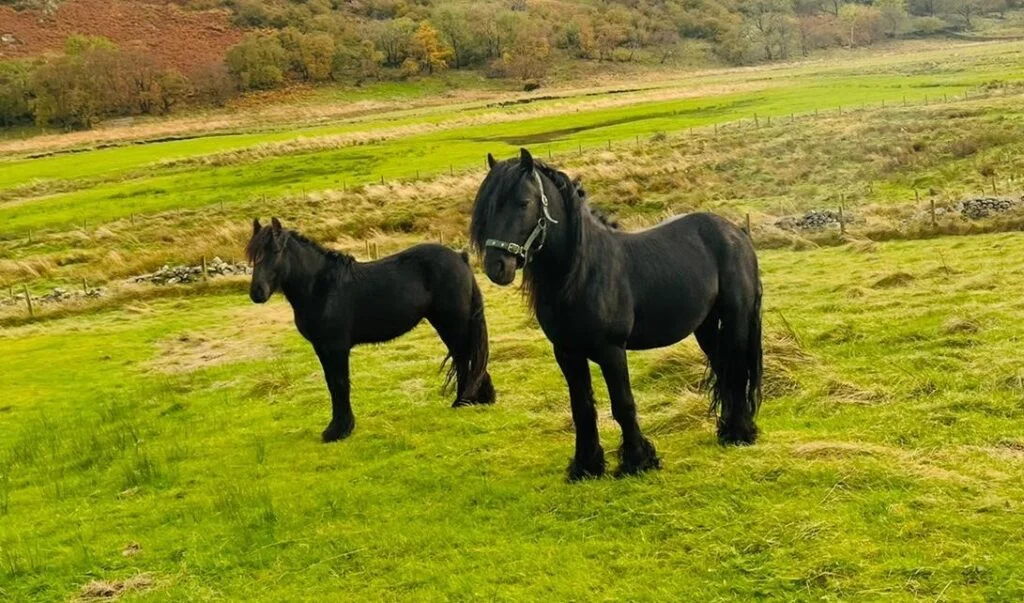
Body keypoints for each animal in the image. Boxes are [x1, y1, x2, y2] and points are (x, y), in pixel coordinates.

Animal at [246, 218, 495, 442]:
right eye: (252, 254)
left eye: (276, 251)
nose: (257, 292)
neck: (320, 287)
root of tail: (460, 257)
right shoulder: (322, 348)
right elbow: (332, 384)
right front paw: (337, 428)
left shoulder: (335, 347)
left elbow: (339, 384)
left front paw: (339, 430)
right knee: (464, 357)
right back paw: (477, 399)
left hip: (453, 323)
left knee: (464, 357)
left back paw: (464, 401)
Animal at [470, 149, 762, 481]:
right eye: (488, 208)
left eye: (523, 203)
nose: (497, 266)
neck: (581, 272)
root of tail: (735, 232)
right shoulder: (567, 353)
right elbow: (582, 407)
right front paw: (586, 466)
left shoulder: (611, 351)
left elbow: (623, 404)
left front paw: (638, 460)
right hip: (707, 327)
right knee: (724, 370)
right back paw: (727, 431)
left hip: (736, 319)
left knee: (736, 371)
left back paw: (740, 433)